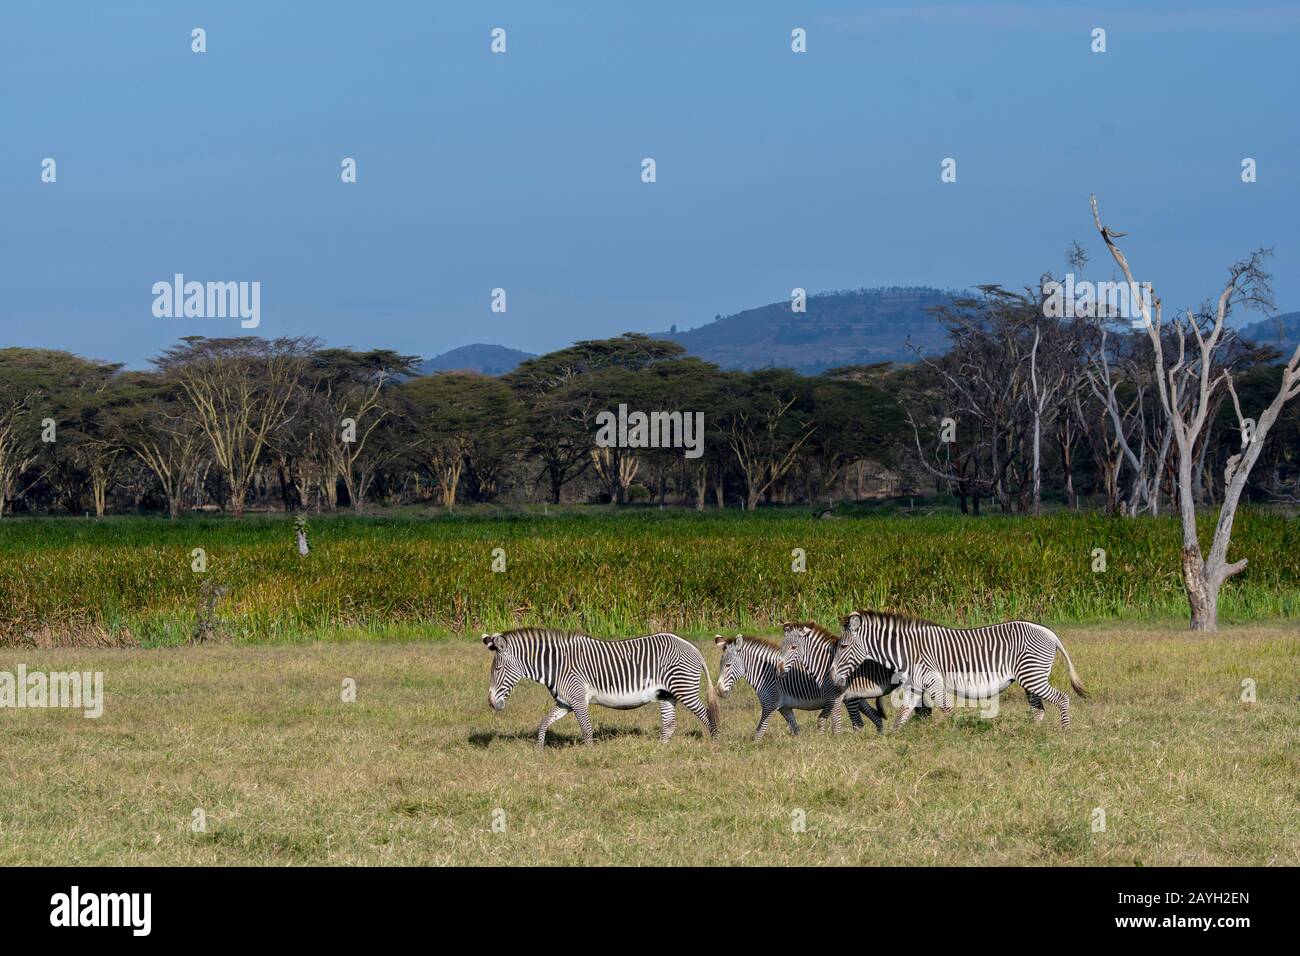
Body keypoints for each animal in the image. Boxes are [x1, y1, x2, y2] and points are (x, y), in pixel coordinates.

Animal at [483, 627, 720, 747]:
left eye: (498, 669)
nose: (492, 703)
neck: (557, 665)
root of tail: (692, 647)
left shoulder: (578, 699)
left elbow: (586, 730)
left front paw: (589, 755)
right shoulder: (565, 702)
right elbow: (543, 723)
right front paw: (539, 750)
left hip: (684, 688)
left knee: (707, 714)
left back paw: (715, 744)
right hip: (666, 693)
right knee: (669, 724)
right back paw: (659, 750)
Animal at [715, 631, 878, 739]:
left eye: (728, 665)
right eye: (720, 665)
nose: (719, 691)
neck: (765, 673)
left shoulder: (770, 705)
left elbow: (759, 732)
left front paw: (754, 749)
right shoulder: (785, 708)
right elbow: (795, 729)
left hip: (850, 698)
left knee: (861, 720)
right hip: (858, 697)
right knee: (874, 714)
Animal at [827, 610, 1088, 730]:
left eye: (843, 646)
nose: (831, 676)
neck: (908, 651)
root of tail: (1049, 632)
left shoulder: (932, 680)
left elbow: (947, 708)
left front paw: (956, 732)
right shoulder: (915, 685)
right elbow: (903, 714)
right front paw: (891, 737)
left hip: (1033, 676)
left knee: (1062, 698)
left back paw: (1065, 732)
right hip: (1029, 678)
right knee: (1038, 710)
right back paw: (1033, 733)